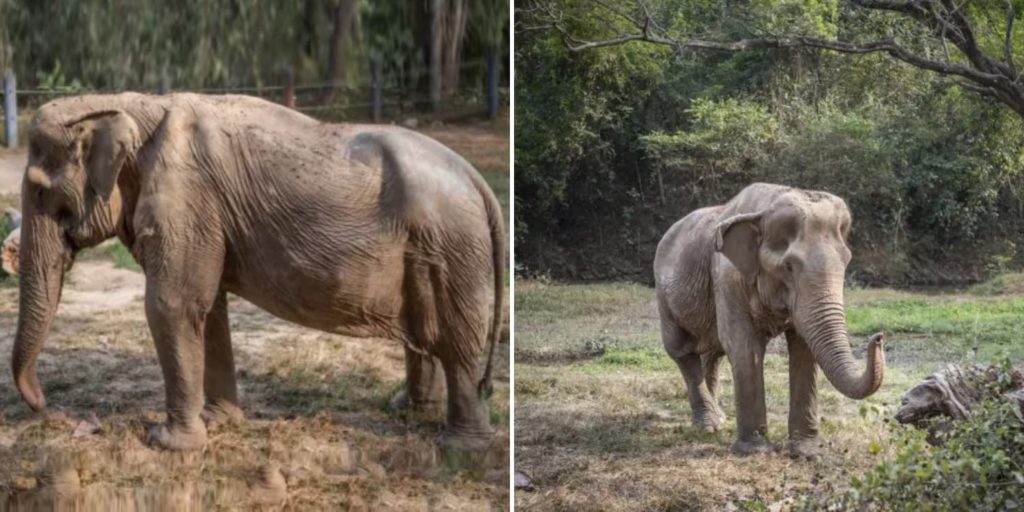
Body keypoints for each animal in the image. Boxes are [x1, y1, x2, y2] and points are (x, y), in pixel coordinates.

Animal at [11, 93, 504, 453]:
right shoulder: (206, 216)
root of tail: (478, 180)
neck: (128, 104)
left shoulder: (187, 199)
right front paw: (218, 421)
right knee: (426, 330)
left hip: (454, 246)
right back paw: (407, 410)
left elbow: (172, 305)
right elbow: (207, 310)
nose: (47, 408)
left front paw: (169, 444)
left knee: (457, 341)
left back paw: (463, 448)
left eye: (39, 191)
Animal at [653, 183, 885, 457]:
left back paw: (719, 418)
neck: (765, 207)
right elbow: (743, 346)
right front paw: (755, 450)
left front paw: (808, 451)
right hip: (664, 296)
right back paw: (708, 426)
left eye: (847, 262)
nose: (879, 338)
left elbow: (803, 348)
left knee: (712, 353)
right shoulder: (727, 277)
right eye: (789, 267)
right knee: (682, 350)